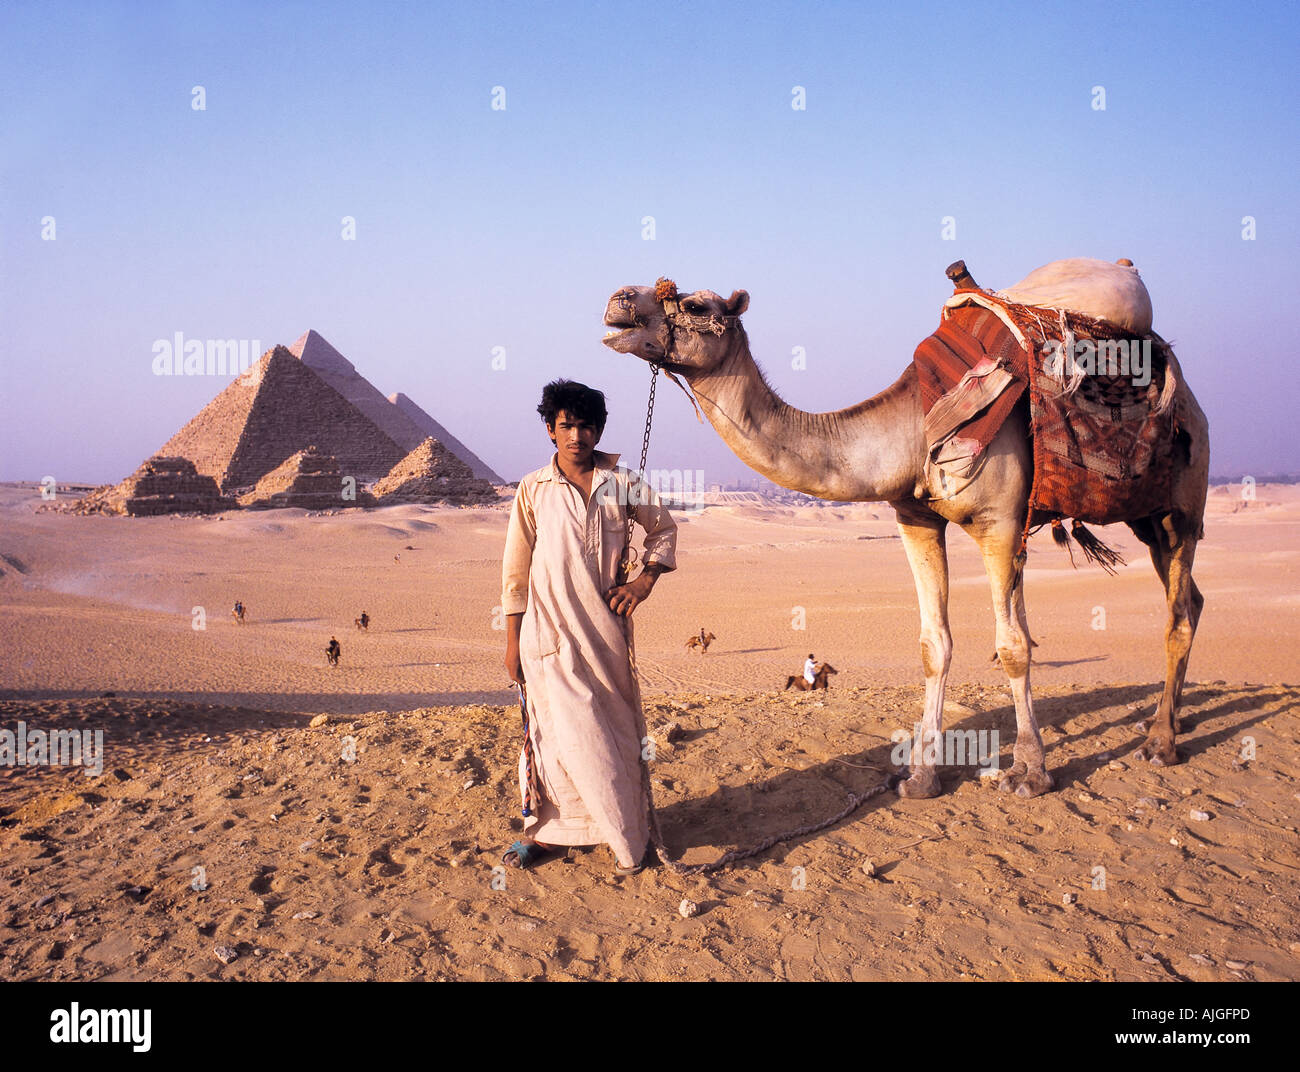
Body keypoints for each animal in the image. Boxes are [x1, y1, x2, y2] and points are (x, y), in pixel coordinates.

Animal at [602, 269, 1208, 798]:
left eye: (694, 304)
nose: (618, 300)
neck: (908, 432)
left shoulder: (1001, 522)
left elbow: (1014, 646)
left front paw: (1031, 773)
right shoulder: (915, 519)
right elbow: (934, 646)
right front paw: (920, 778)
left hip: (1183, 504)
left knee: (1177, 612)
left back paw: (1161, 742)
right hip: (1146, 518)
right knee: (1191, 599)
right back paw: (1169, 722)